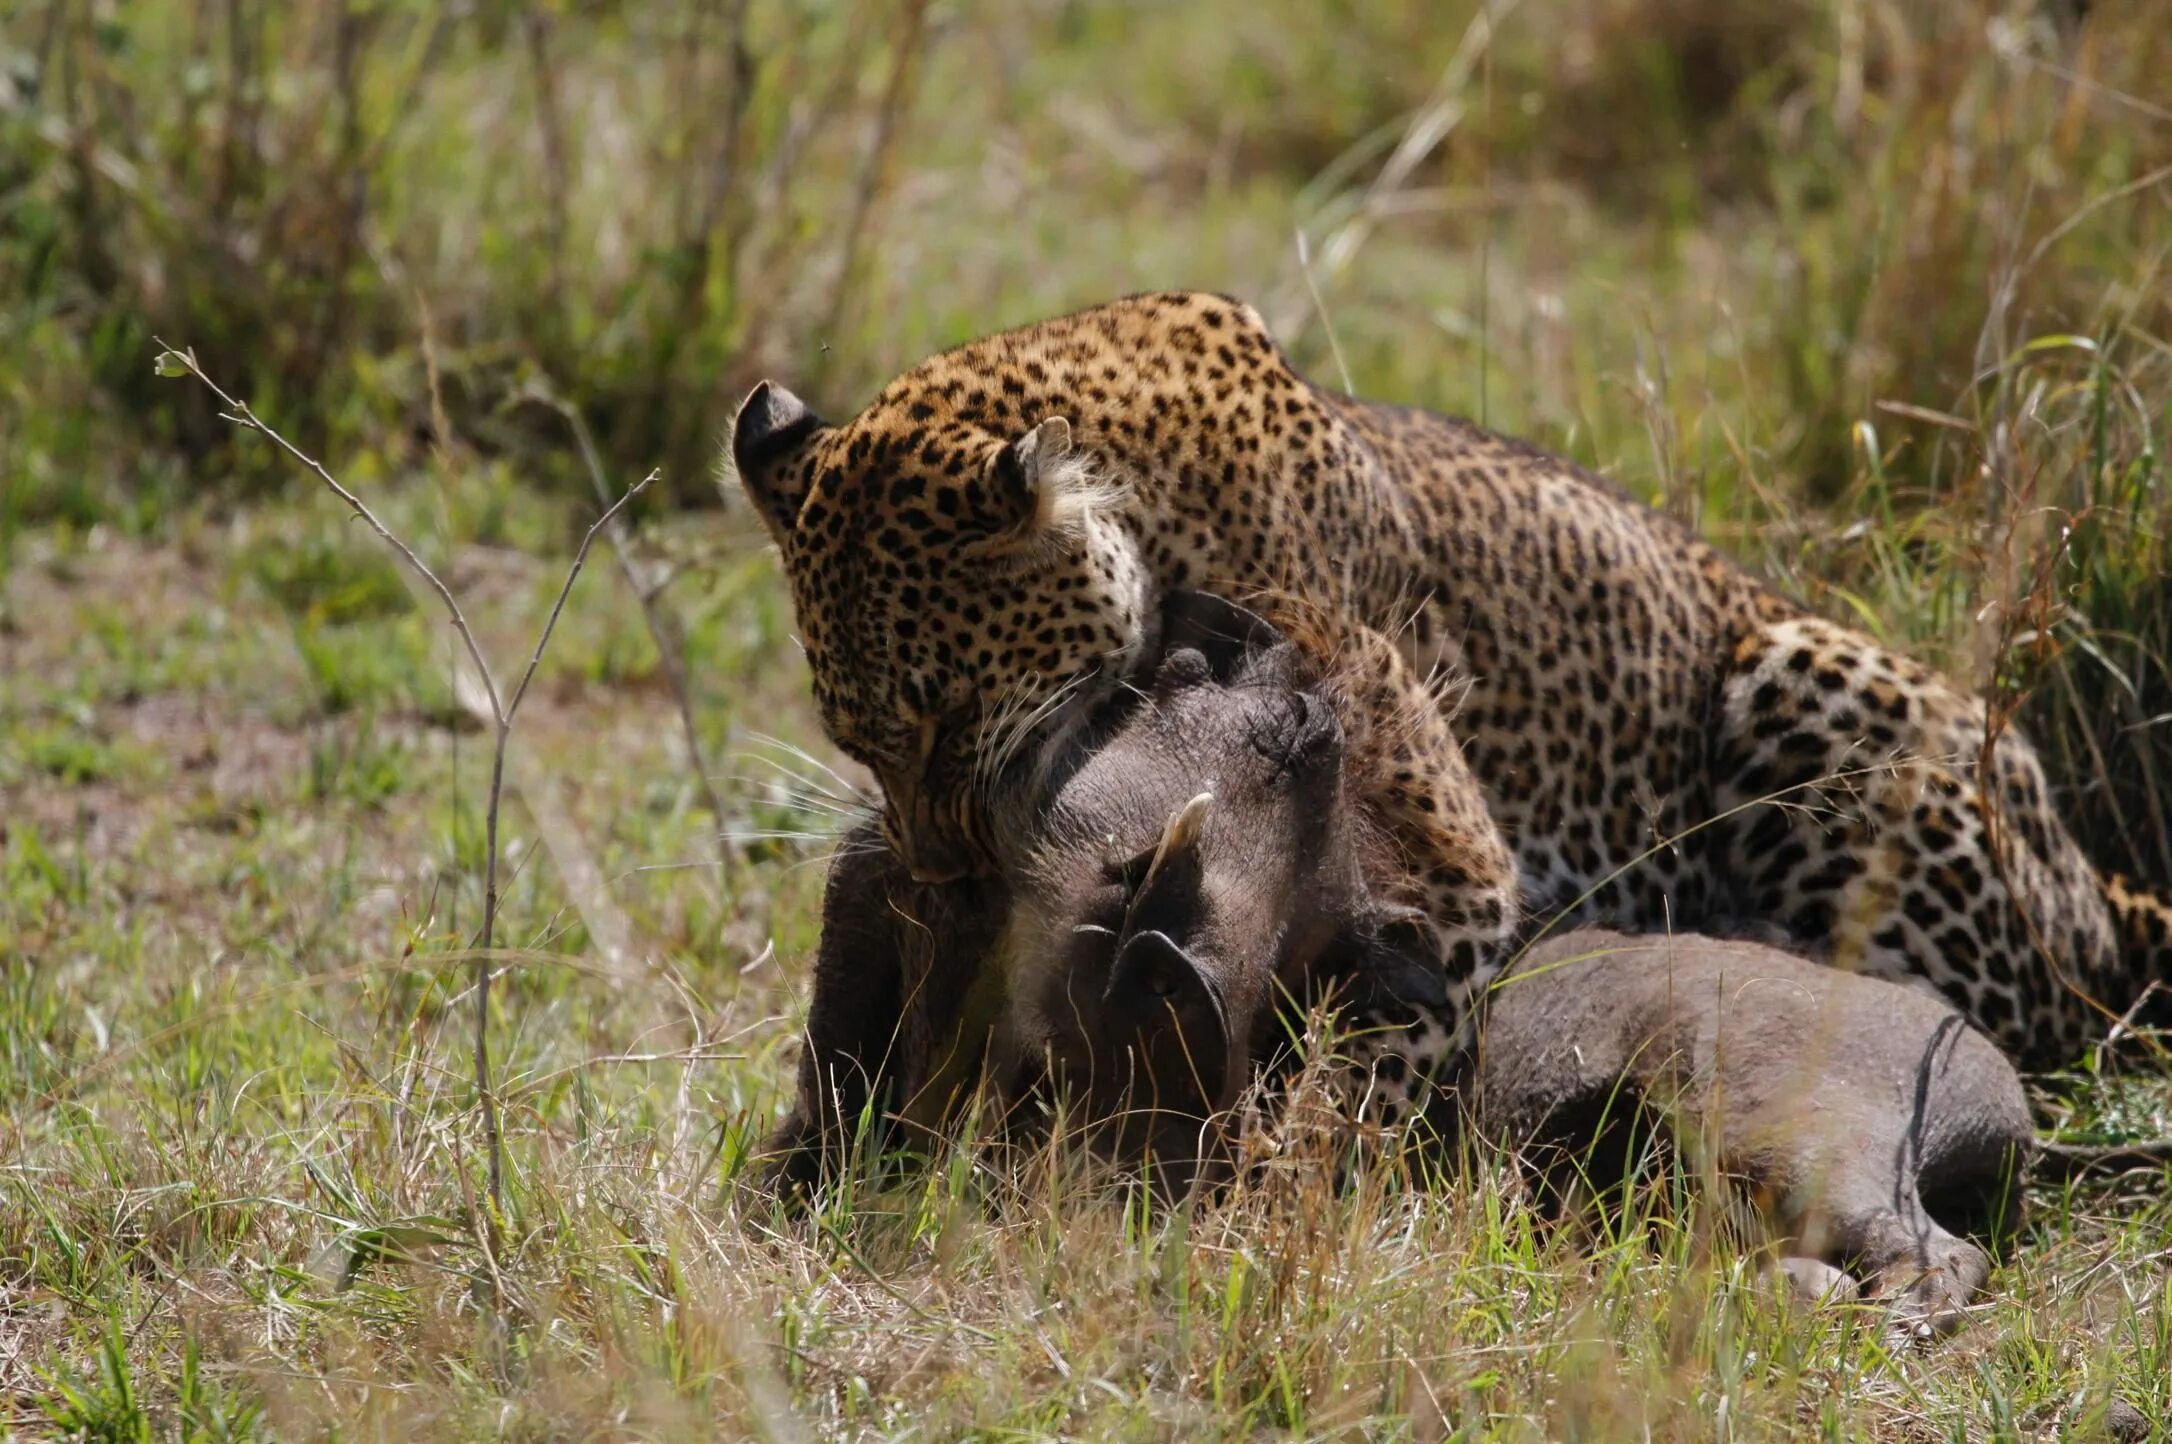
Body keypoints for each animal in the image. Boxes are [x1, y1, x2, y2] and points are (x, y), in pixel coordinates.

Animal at [729, 286, 2172, 1068]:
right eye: (855, 737)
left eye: (941, 718)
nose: (940, 876)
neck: (1153, 503)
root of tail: (2084, 861)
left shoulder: (1456, 871)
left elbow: (1366, 1062)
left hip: (1800, 675)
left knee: (2003, 1010)